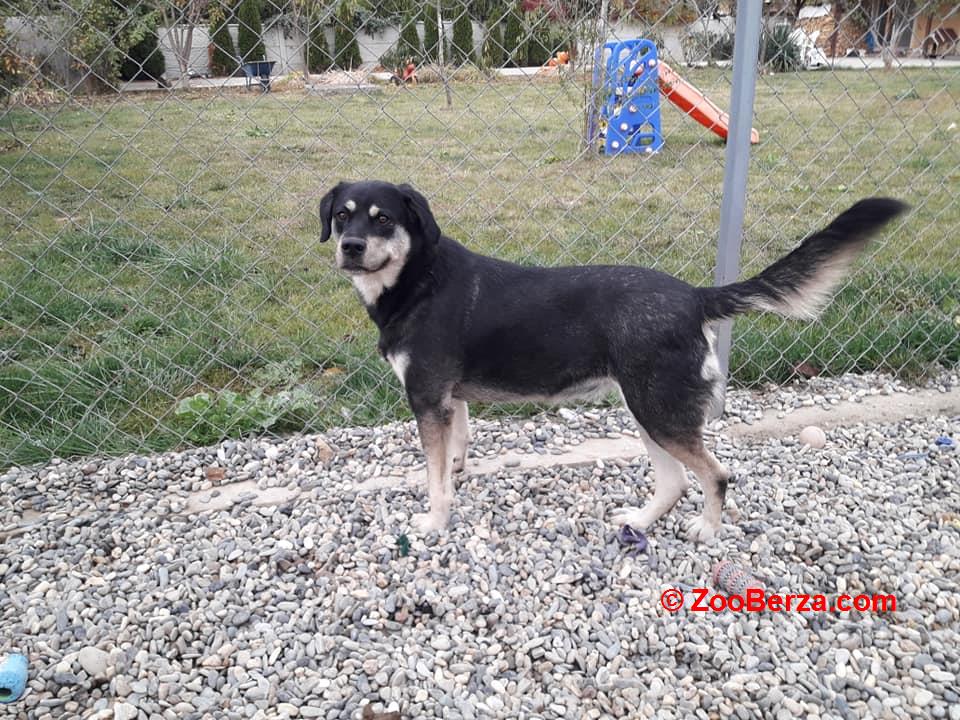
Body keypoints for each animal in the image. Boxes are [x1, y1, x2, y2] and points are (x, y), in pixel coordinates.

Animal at [318, 180, 904, 540]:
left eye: (383, 219)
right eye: (343, 215)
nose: (349, 247)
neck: (418, 278)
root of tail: (694, 296)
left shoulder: (426, 400)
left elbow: (434, 478)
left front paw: (435, 522)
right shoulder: (448, 400)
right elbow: (455, 455)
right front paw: (456, 480)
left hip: (657, 411)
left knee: (716, 475)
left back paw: (708, 530)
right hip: (647, 411)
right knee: (674, 482)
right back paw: (640, 521)